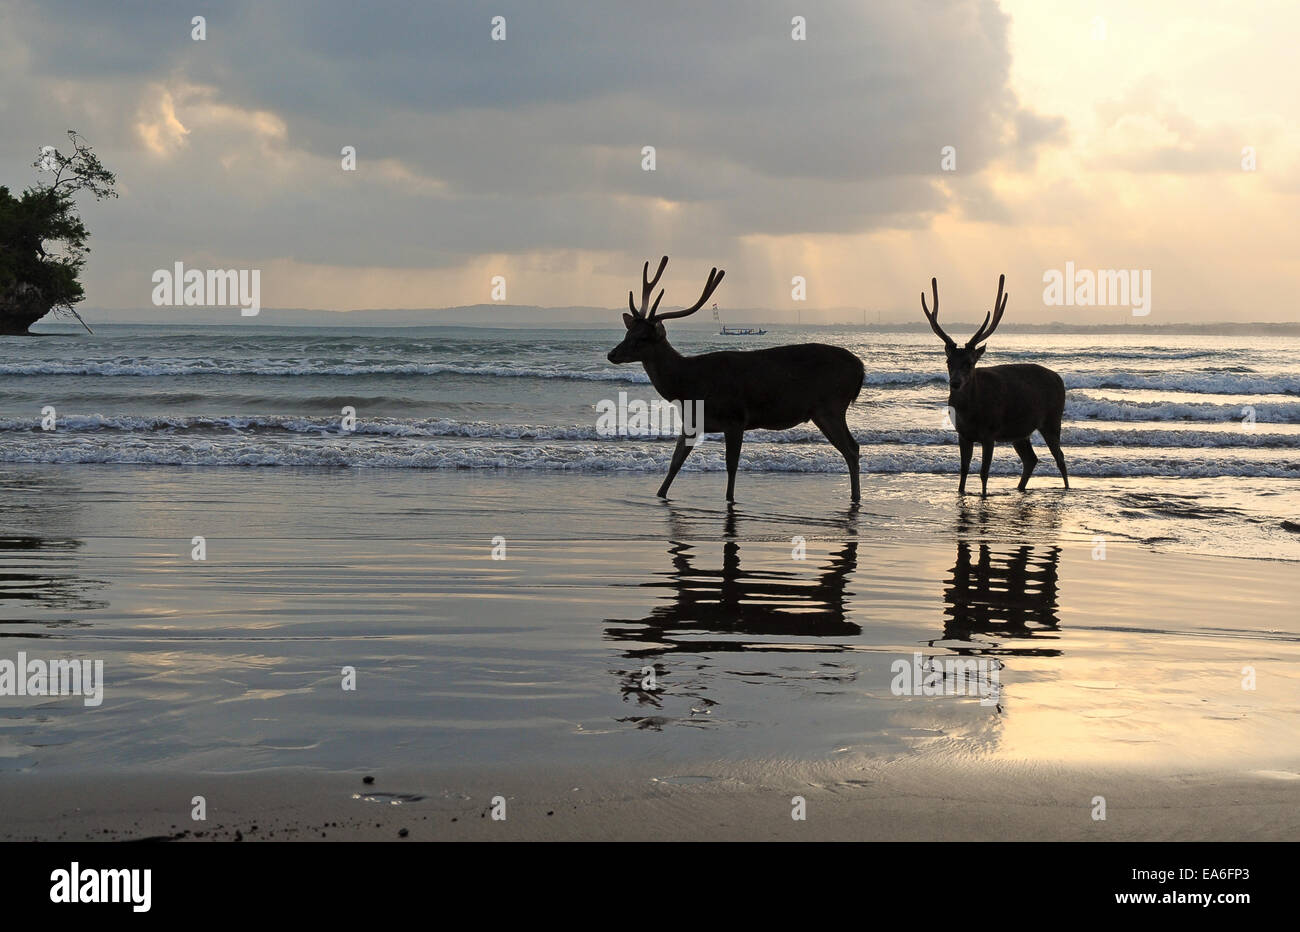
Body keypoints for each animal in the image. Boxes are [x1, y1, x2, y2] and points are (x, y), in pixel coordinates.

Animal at [607, 256, 865, 503]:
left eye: (643, 338)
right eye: (628, 332)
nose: (612, 354)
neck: (687, 386)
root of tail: (860, 368)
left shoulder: (735, 419)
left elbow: (731, 466)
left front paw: (730, 500)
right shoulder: (691, 423)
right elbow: (674, 464)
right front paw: (660, 494)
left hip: (830, 406)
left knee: (852, 449)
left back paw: (856, 497)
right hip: (824, 411)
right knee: (851, 448)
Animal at [919, 274, 1069, 497]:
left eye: (969, 363)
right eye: (948, 362)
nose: (955, 383)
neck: (971, 414)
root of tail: (1059, 379)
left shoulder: (989, 433)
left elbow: (984, 473)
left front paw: (983, 496)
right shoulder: (963, 434)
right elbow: (963, 472)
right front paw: (961, 494)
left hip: (1052, 420)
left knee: (1060, 457)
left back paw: (1066, 488)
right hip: (1020, 432)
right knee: (1031, 459)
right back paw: (1019, 488)